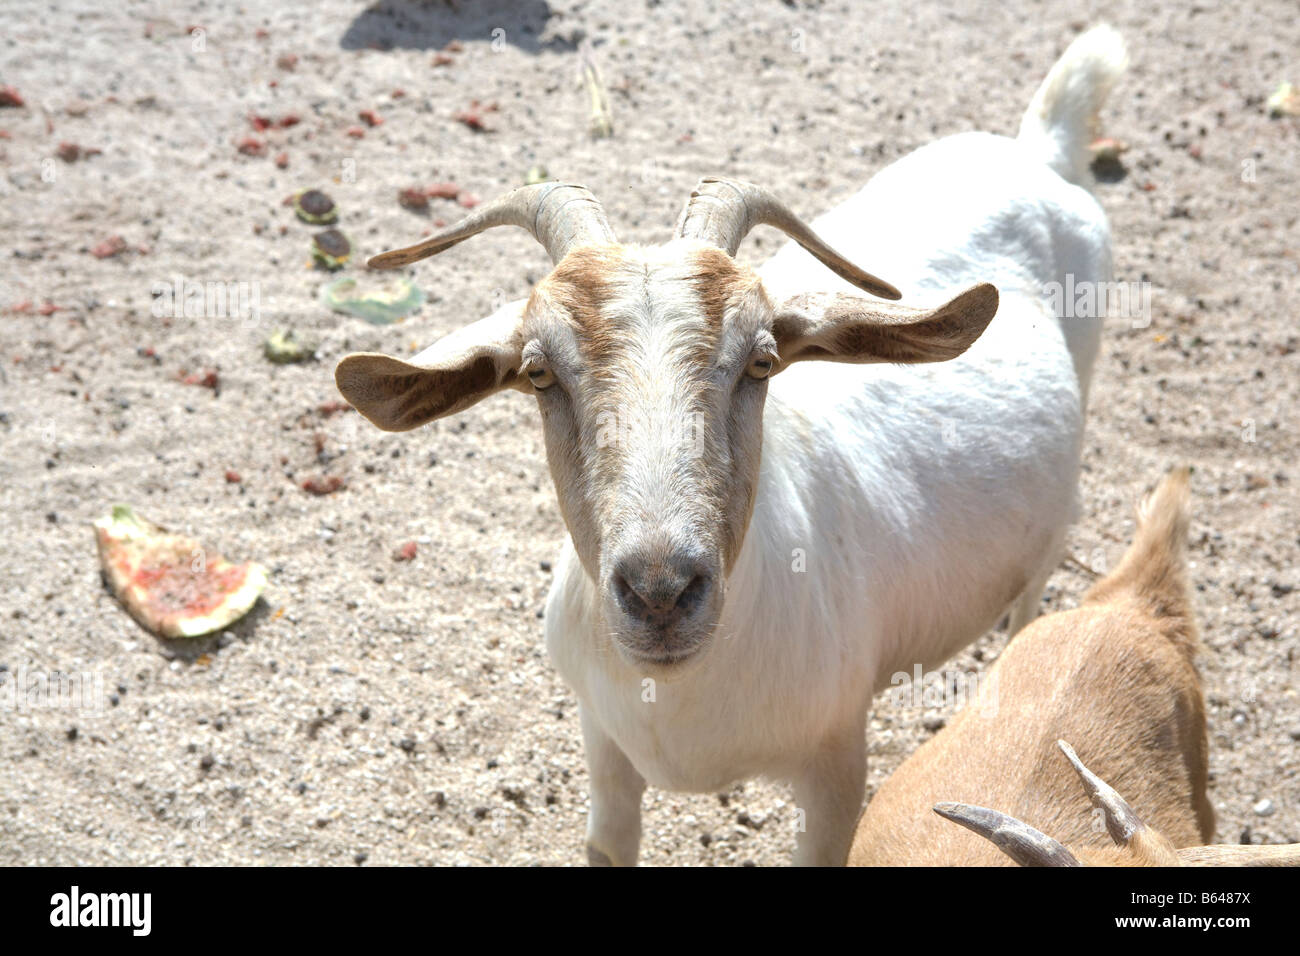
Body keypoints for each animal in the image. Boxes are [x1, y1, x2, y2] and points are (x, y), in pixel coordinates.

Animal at [335, 26, 1127, 865]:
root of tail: (1039, 150)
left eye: (761, 360)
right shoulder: (602, 741)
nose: (659, 591)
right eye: (539, 371)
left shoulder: (835, 762)